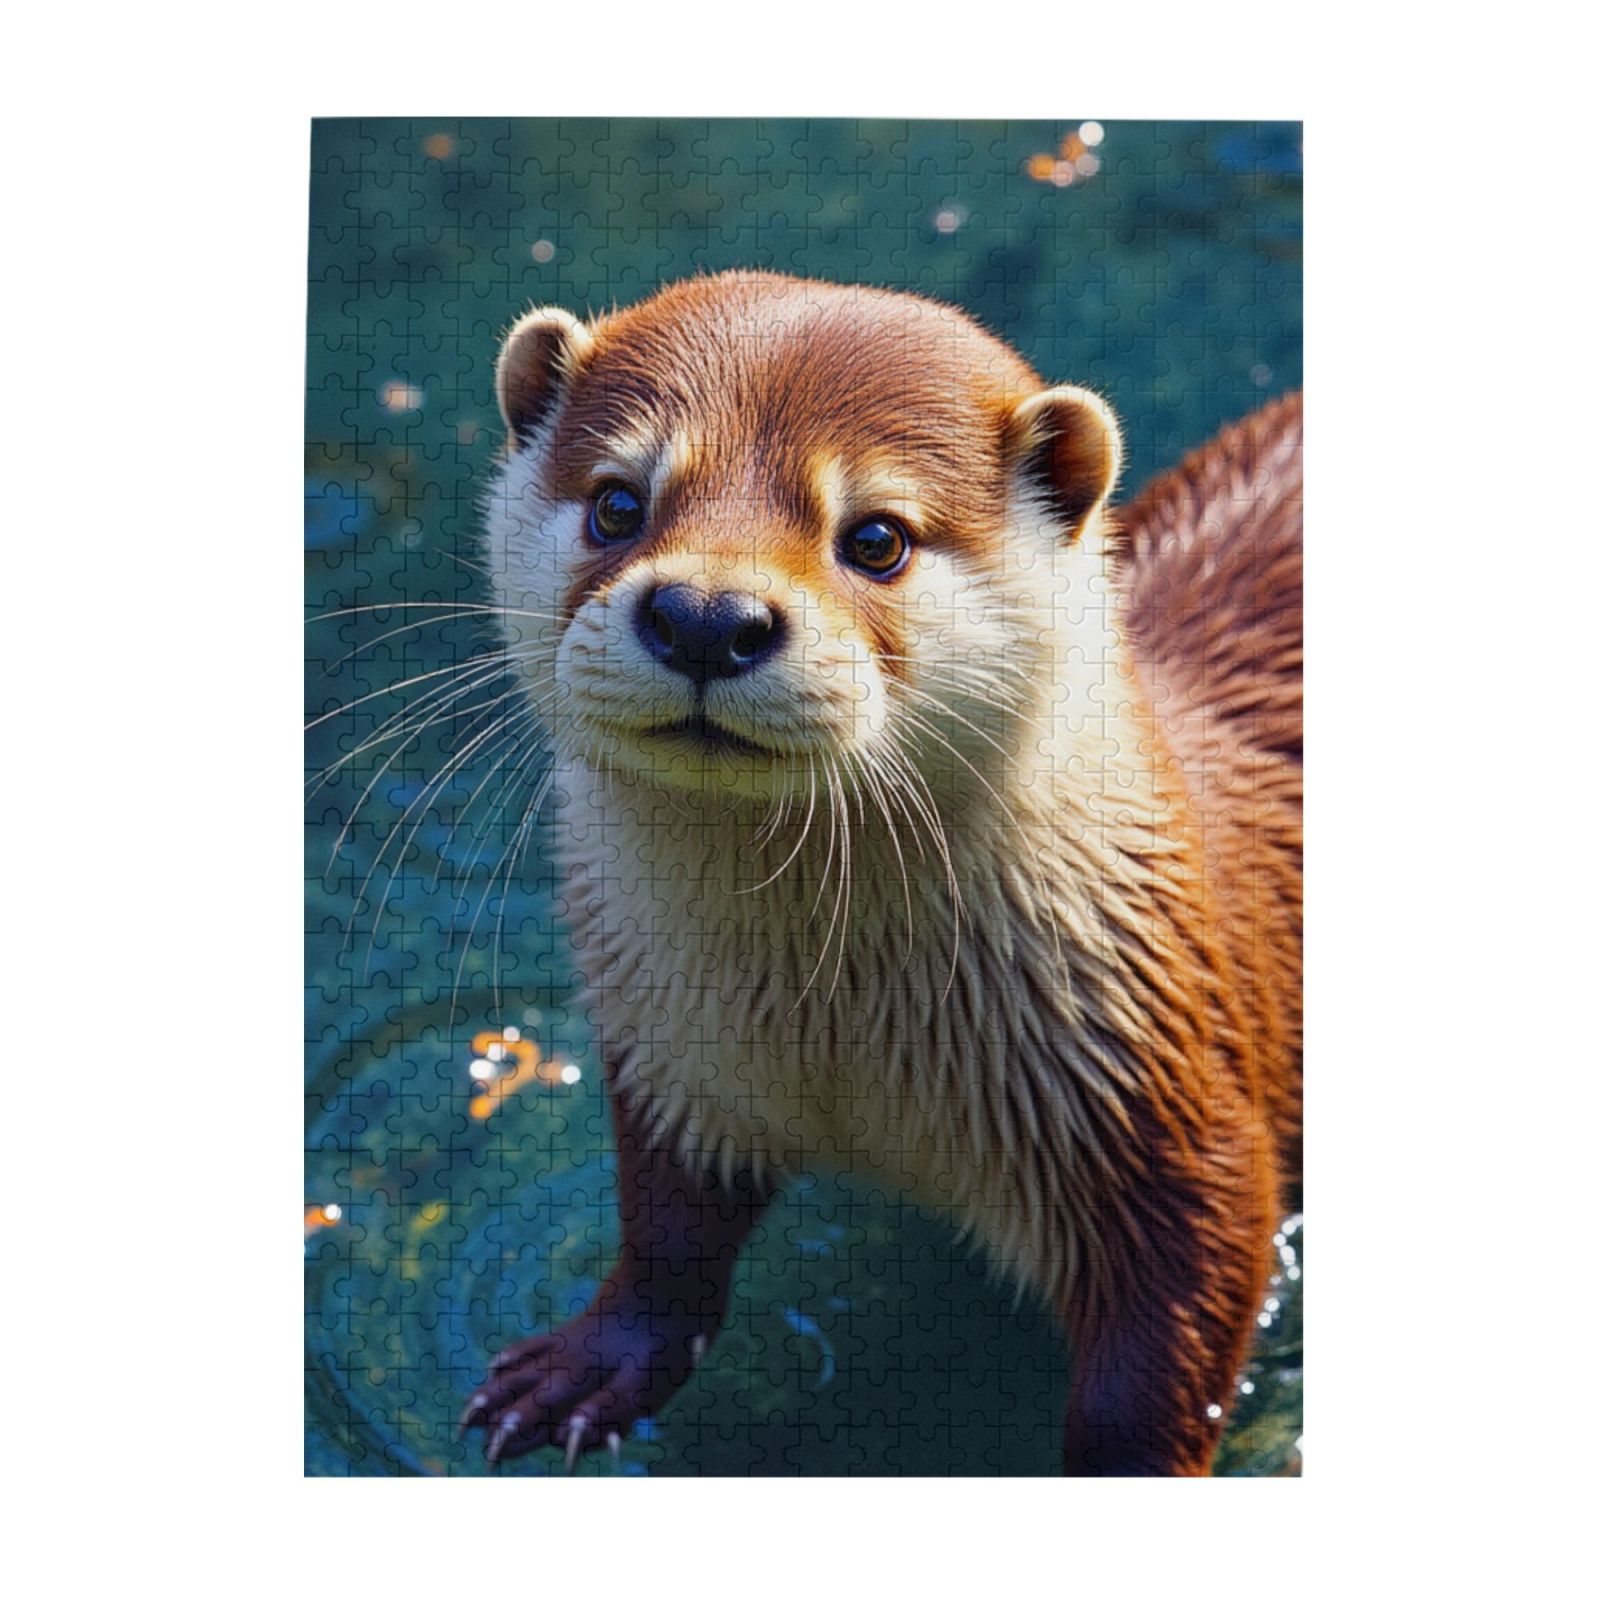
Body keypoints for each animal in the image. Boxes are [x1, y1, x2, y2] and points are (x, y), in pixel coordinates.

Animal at [455, 272, 1302, 1476]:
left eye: (877, 538)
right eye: (617, 503)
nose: (705, 617)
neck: (849, 1053)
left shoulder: (1176, 1123)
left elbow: (1146, 1386)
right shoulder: (669, 1049)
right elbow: (665, 1230)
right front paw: (587, 1364)